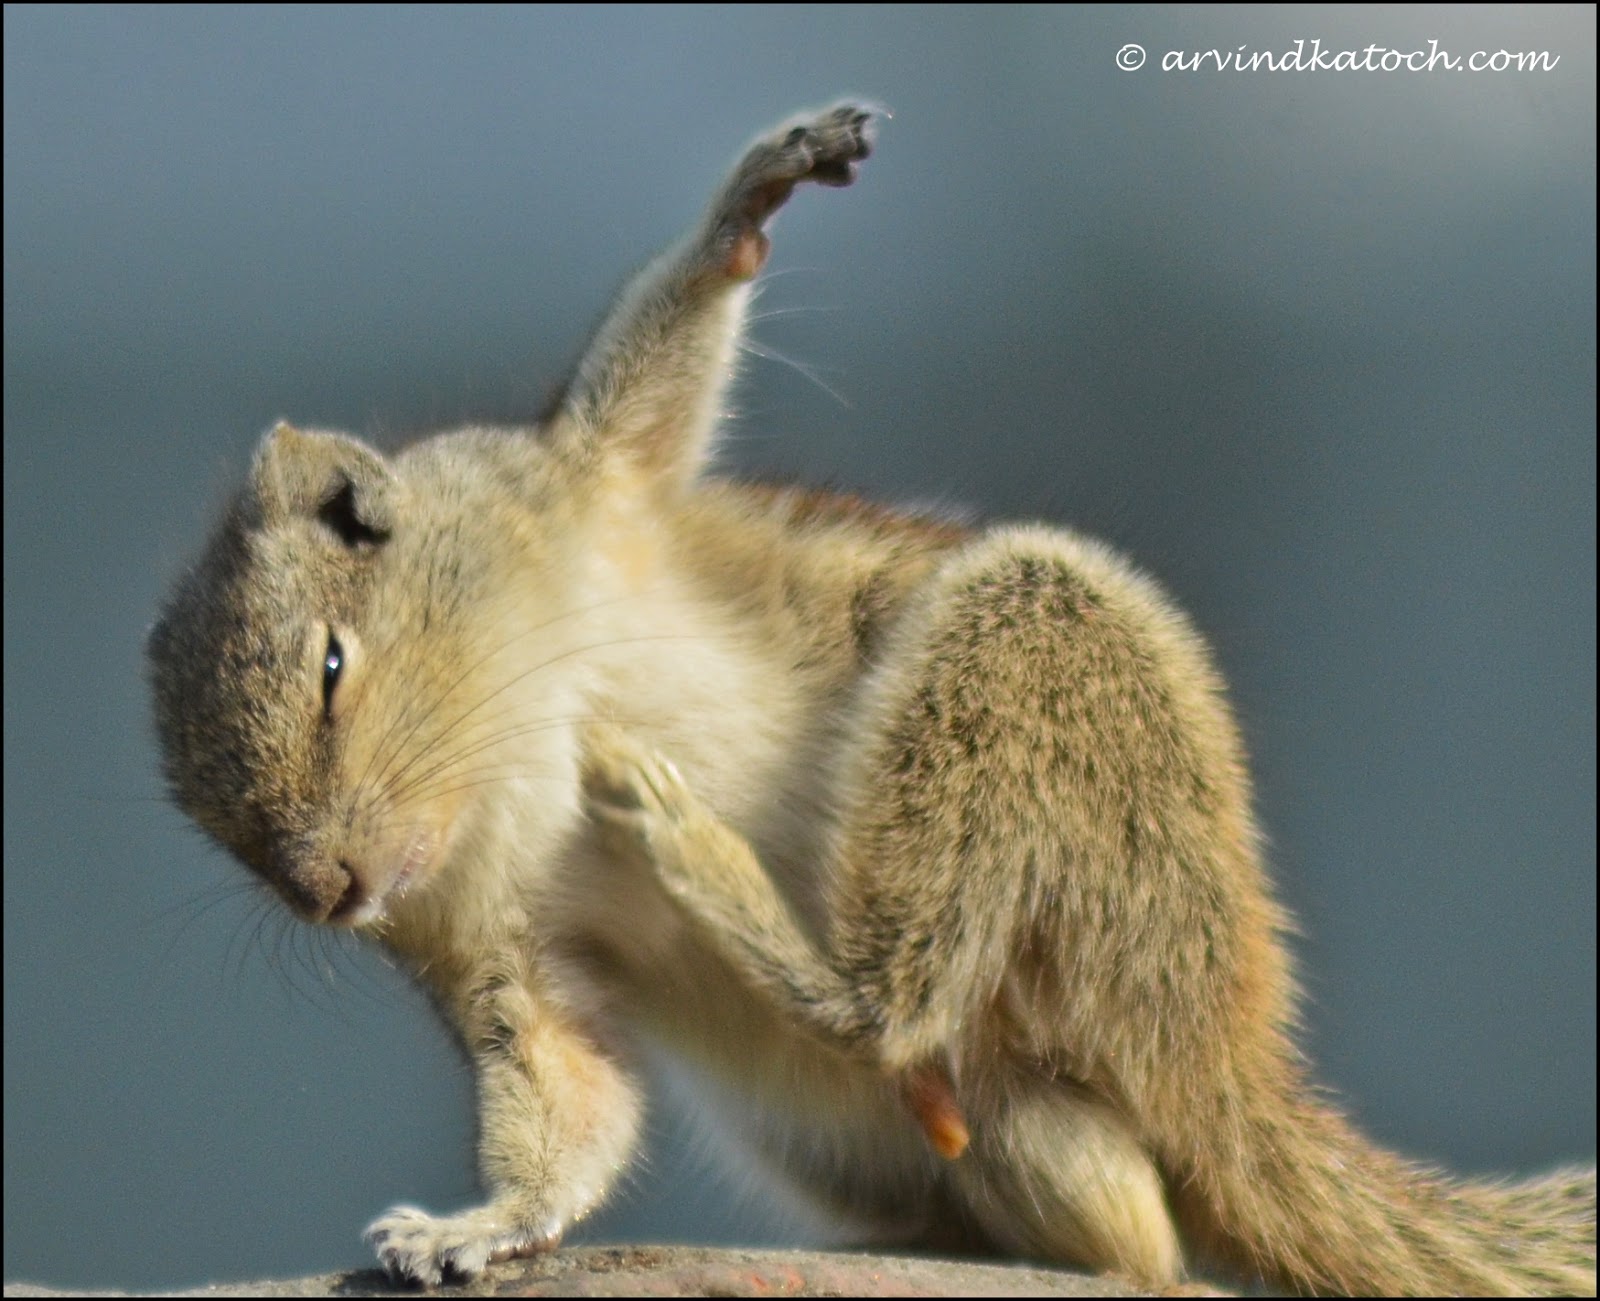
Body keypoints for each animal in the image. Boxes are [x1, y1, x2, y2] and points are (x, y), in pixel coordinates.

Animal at [147, 103, 1596, 1295]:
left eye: (332, 669)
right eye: (210, 828)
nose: (332, 893)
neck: (515, 745)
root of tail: (1227, 1057)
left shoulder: (584, 489)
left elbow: (660, 370)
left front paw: (755, 197)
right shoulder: (491, 949)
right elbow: (562, 1082)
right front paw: (482, 1225)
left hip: (1028, 665)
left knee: (904, 1004)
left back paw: (710, 864)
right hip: (919, 1120)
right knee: (1122, 1223)